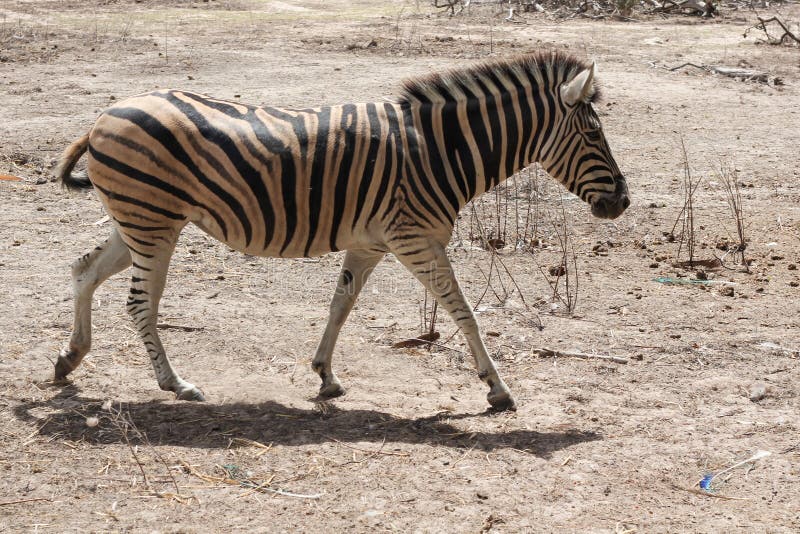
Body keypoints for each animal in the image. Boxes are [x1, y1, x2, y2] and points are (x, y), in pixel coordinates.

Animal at [54, 50, 629, 412]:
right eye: (593, 134)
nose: (622, 202)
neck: (440, 150)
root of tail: (105, 114)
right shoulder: (415, 239)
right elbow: (462, 310)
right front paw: (497, 388)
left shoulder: (369, 244)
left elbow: (340, 305)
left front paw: (325, 375)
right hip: (152, 223)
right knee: (138, 303)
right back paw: (174, 383)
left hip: (142, 221)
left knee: (84, 269)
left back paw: (69, 358)